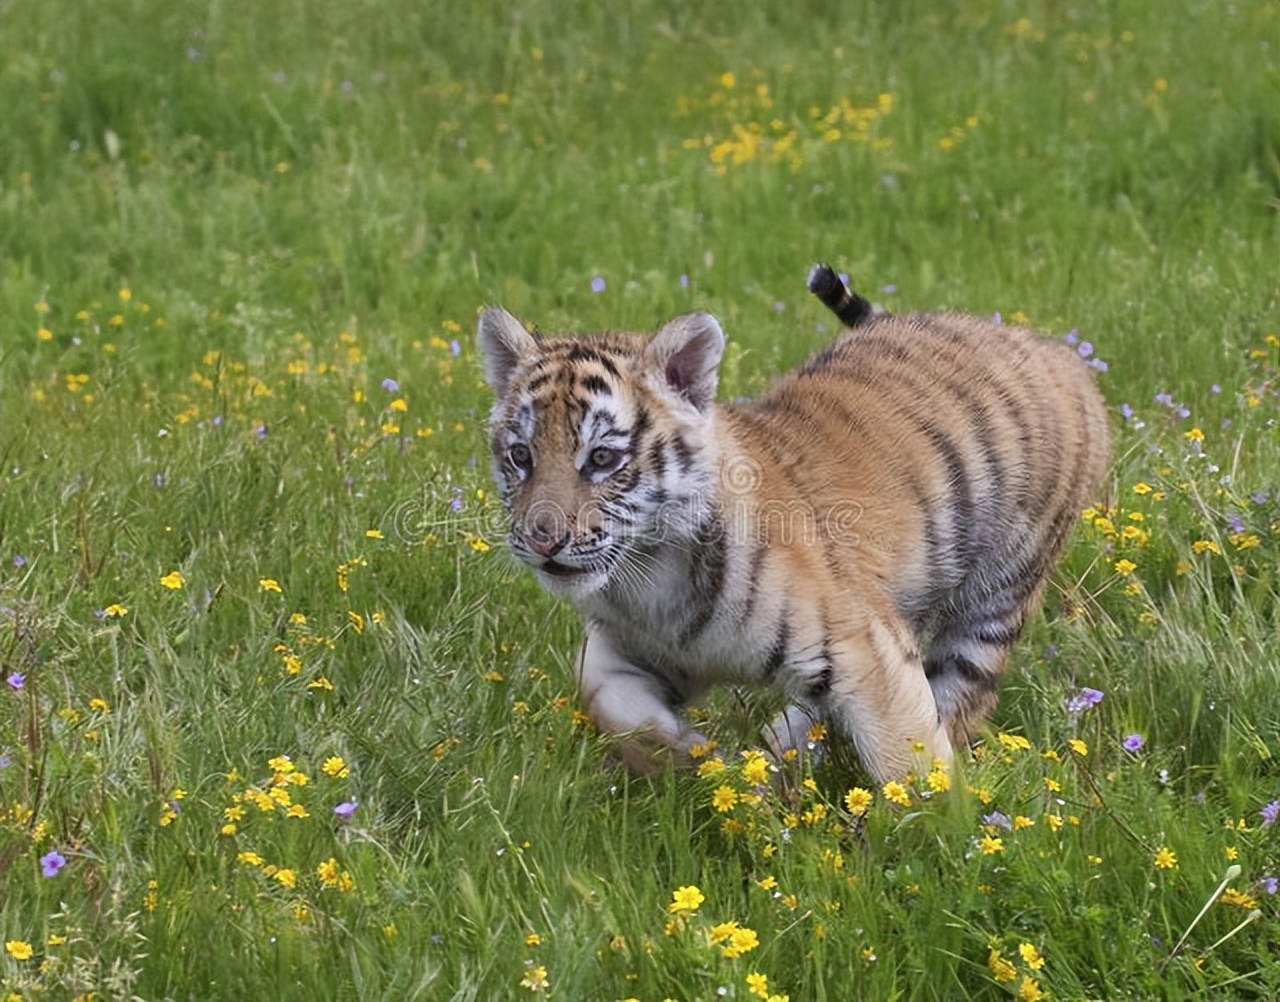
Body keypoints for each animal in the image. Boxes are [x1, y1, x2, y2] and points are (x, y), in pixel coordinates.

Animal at [476, 265, 1110, 782]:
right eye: (521, 456)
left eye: (603, 458)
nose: (541, 539)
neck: (654, 572)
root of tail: (1044, 344)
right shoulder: (629, 648)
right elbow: (604, 697)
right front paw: (690, 758)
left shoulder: (866, 645)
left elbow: (911, 764)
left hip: (996, 600)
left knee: (956, 697)